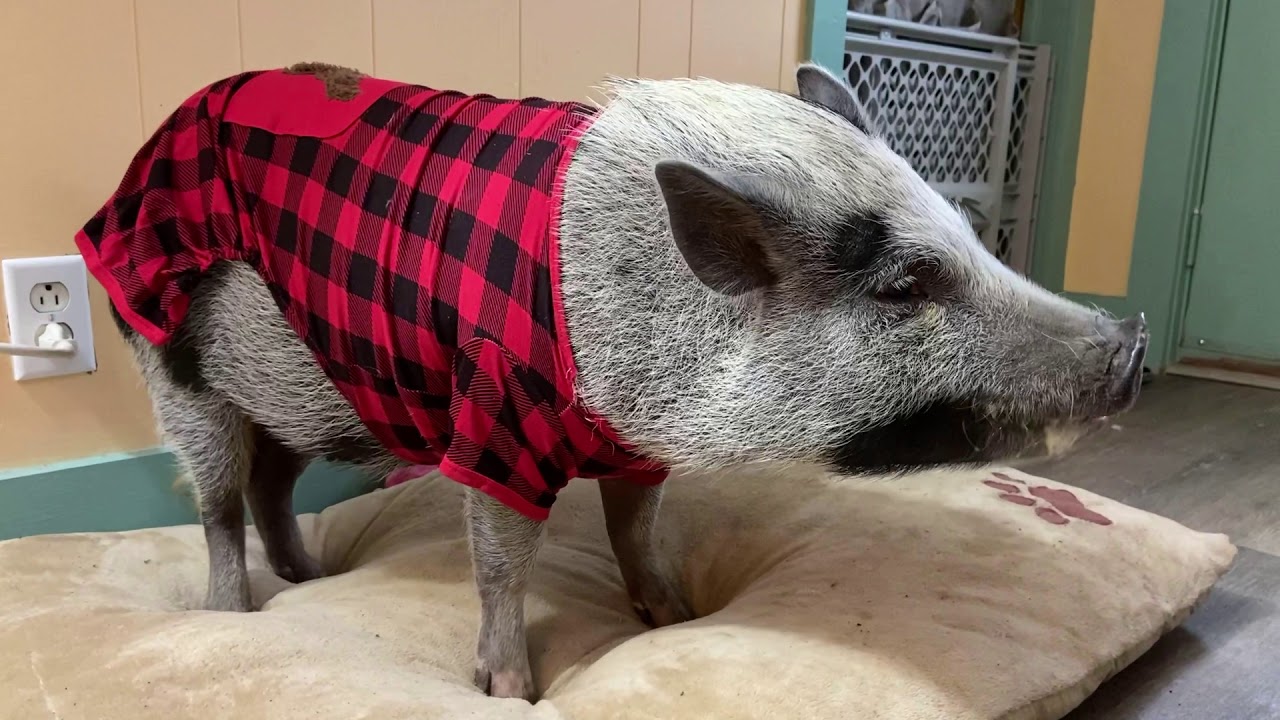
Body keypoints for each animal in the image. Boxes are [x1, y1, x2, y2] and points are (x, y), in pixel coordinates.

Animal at [76, 61, 1147, 702]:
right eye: (905, 286)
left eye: (969, 237)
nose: (1131, 346)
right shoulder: (496, 425)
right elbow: (502, 565)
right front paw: (509, 691)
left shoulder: (634, 446)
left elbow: (638, 532)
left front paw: (674, 616)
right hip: (178, 367)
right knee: (217, 502)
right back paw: (237, 612)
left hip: (292, 398)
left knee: (271, 484)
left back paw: (311, 580)